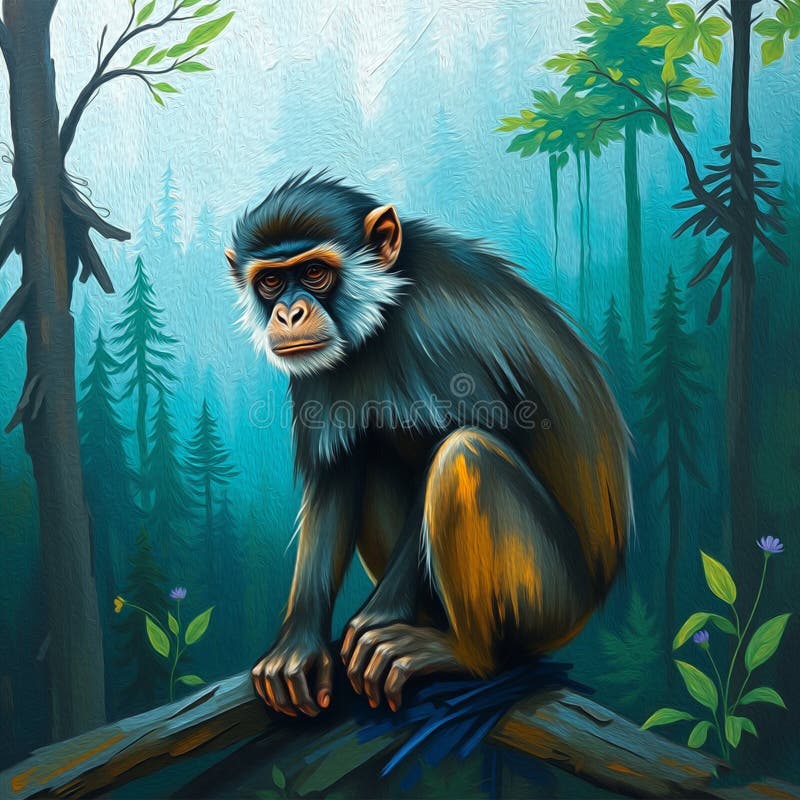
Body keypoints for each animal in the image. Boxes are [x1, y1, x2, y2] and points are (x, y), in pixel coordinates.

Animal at [226, 173, 631, 718]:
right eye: (271, 281)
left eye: (313, 272)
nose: (289, 313)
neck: (382, 310)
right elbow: (338, 473)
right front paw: (299, 647)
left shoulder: (435, 333)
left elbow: (464, 434)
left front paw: (377, 619)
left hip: (555, 600)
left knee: (467, 453)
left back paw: (466, 654)